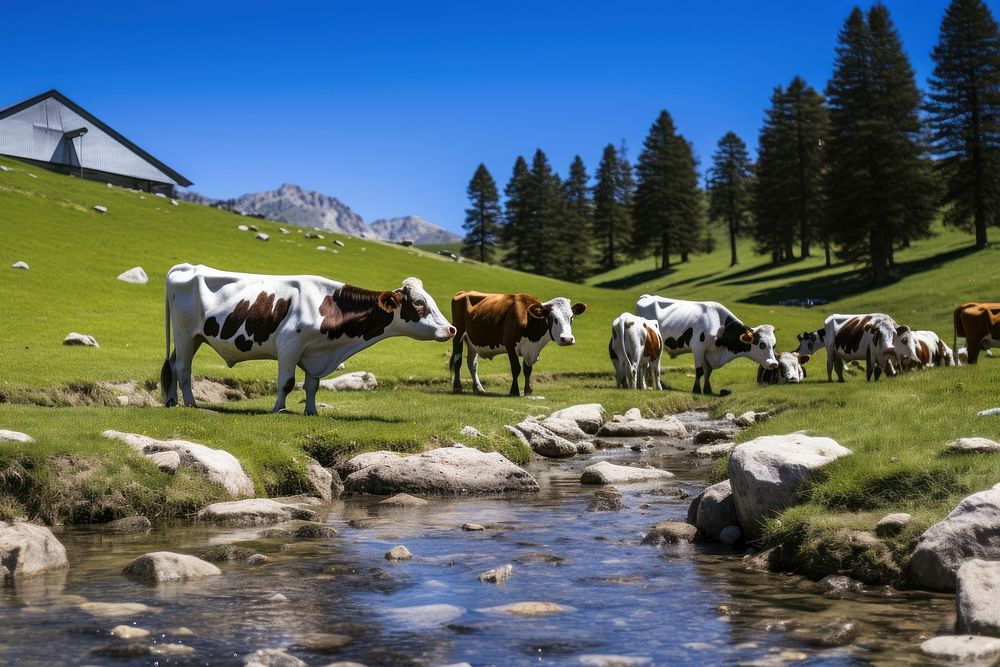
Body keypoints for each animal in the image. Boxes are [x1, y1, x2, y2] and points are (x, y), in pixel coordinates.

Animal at [161, 264, 455, 415]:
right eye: (419, 303)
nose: (451, 329)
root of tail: (188, 266)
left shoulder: (316, 353)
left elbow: (312, 386)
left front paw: (311, 412)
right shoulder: (289, 345)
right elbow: (287, 383)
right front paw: (279, 409)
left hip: (194, 337)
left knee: (173, 365)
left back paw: (171, 401)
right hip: (185, 333)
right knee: (184, 368)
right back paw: (190, 403)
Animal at [450, 291, 586, 396]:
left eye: (571, 317)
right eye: (553, 317)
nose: (567, 339)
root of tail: (463, 292)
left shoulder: (530, 350)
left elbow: (528, 370)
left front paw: (528, 391)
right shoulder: (510, 345)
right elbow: (516, 368)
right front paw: (514, 391)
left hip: (472, 341)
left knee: (472, 364)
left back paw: (479, 388)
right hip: (458, 334)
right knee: (458, 360)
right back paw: (457, 387)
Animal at [635, 295, 778, 395]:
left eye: (774, 345)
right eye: (761, 344)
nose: (774, 364)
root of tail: (647, 296)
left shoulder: (708, 351)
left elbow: (708, 371)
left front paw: (707, 390)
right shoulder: (698, 347)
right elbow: (699, 371)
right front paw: (697, 390)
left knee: (648, 366)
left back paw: (651, 385)